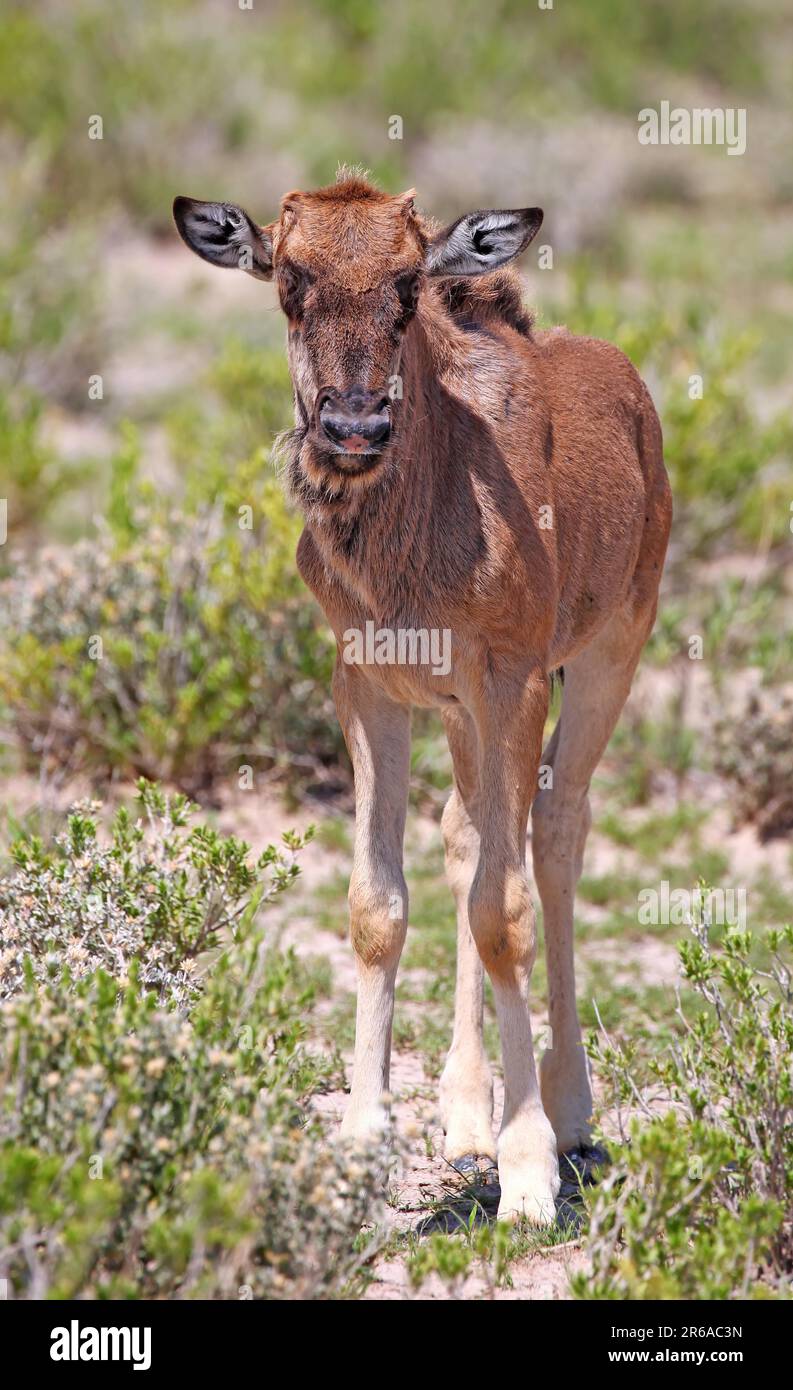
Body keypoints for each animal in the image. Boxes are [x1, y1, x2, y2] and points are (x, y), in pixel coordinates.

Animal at [174, 173, 672, 1224]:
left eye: (407, 285)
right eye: (289, 278)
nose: (352, 431)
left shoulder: (513, 681)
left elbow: (503, 912)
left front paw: (525, 1172)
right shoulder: (371, 685)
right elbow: (380, 904)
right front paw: (366, 1142)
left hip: (610, 654)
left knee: (555, 831)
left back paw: (568, 1110)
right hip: (458, 716)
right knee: (467, 836)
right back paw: (464, 1110)